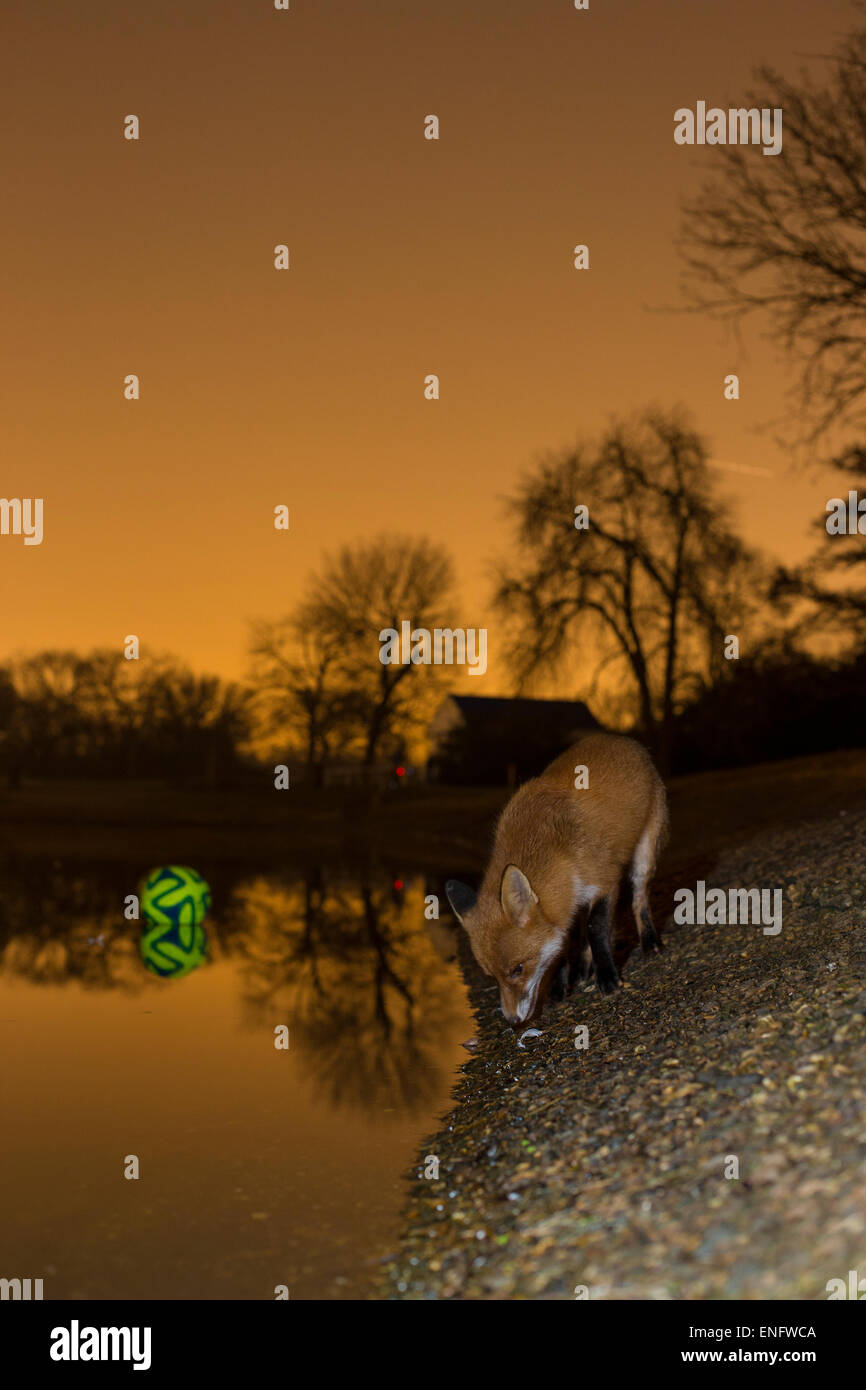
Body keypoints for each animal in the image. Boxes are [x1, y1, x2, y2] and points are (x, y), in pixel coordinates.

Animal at [447, 733, 670, 1028]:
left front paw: (608, 979)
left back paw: (650, 942)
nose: (512, 1021)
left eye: (518, 969)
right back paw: (583, 970)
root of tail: (620, 739)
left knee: (639, 898)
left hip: (644, 855)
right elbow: (565, 943)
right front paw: (560, 987)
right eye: (492, 976)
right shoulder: (565, 902)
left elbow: (596, 928)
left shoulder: (605, 880)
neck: (559, 854)